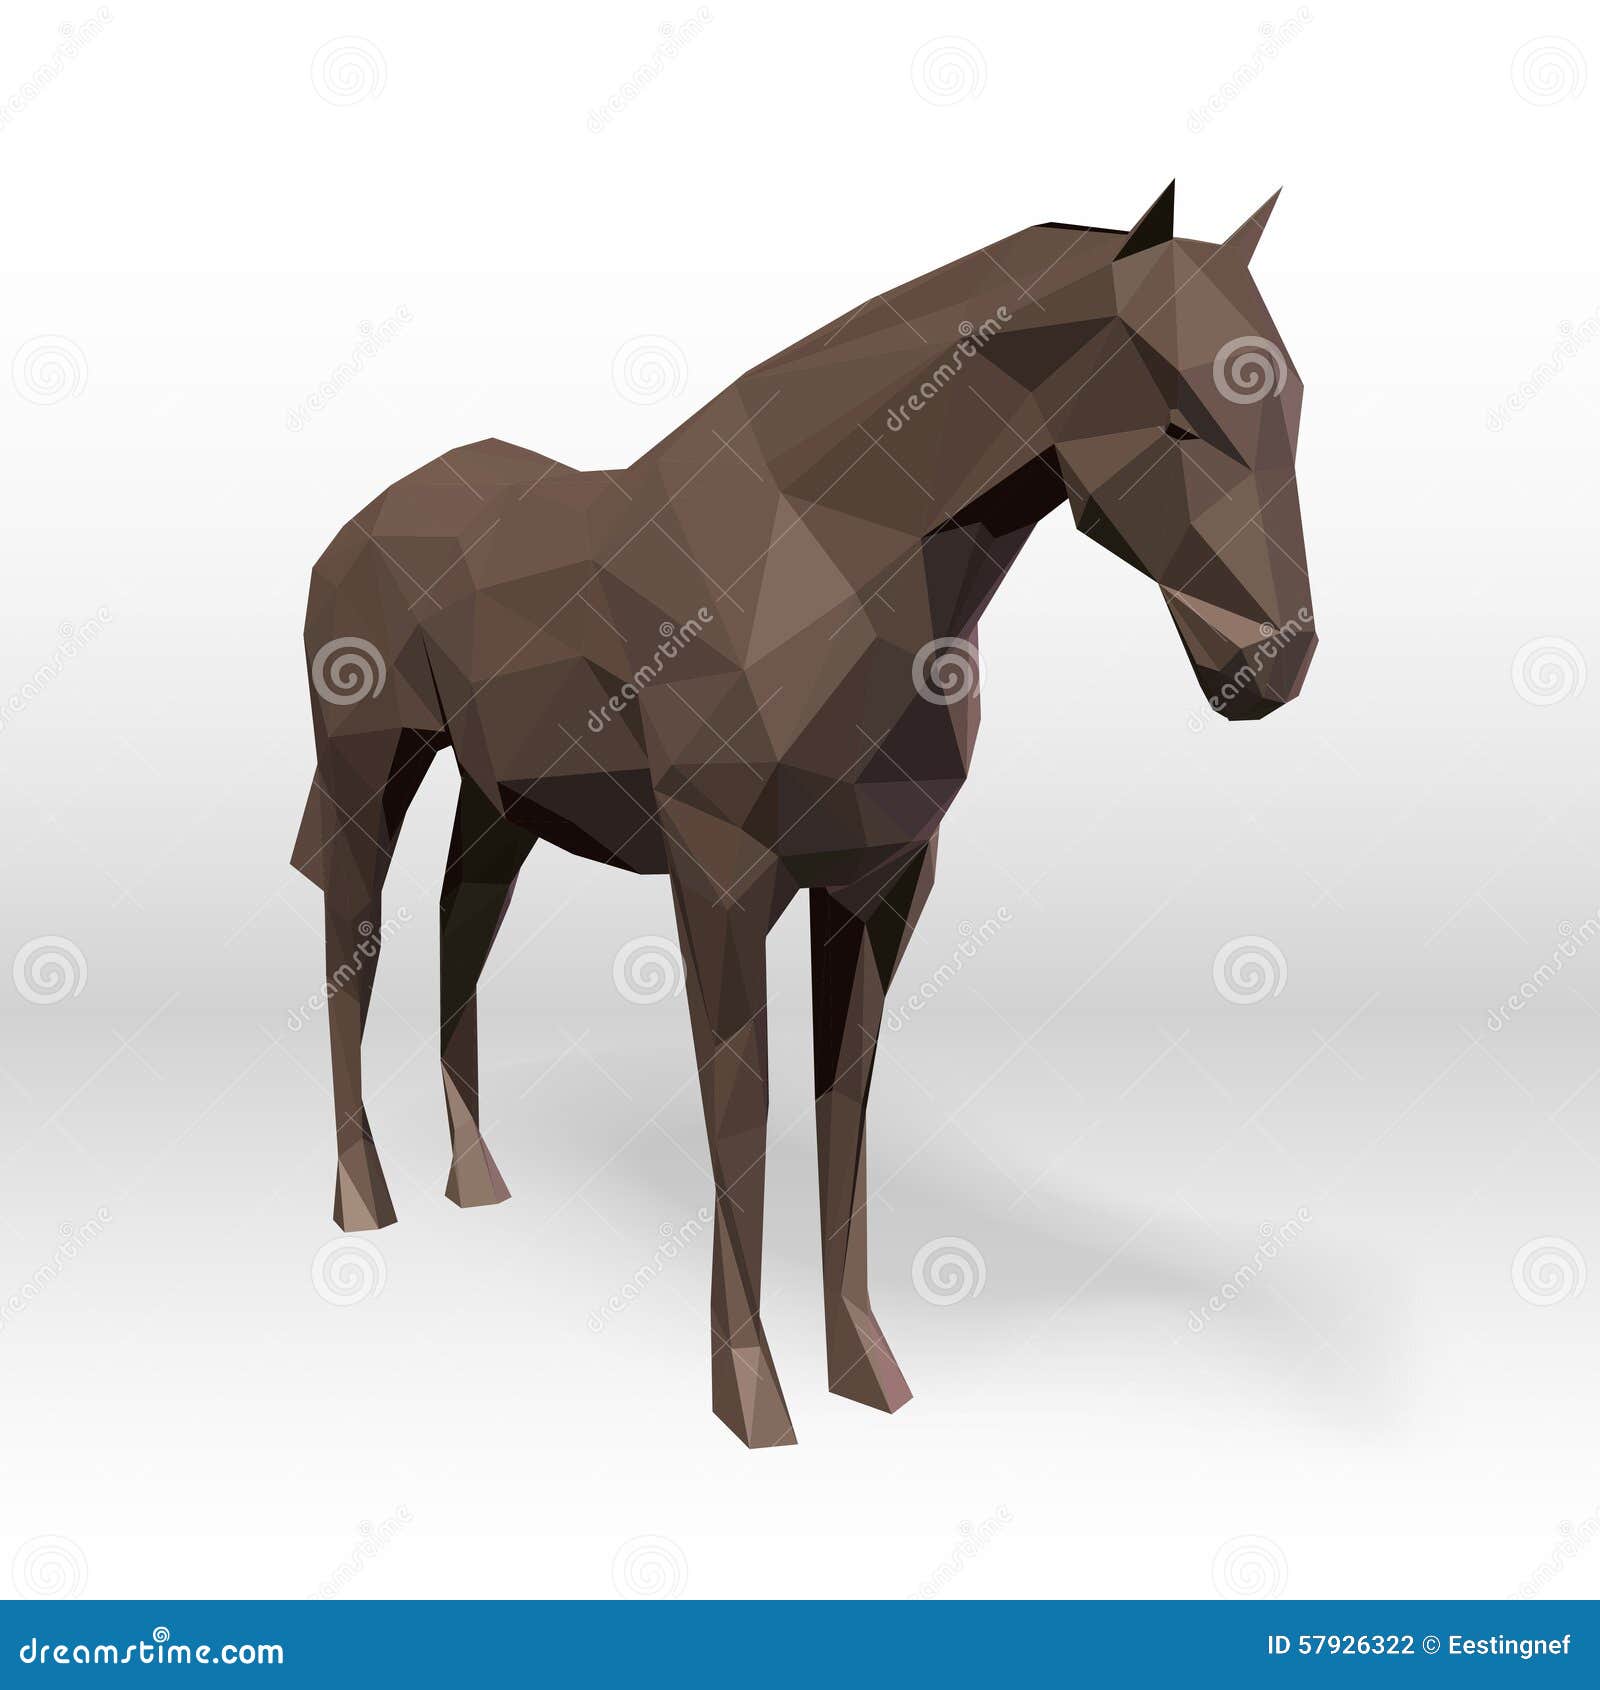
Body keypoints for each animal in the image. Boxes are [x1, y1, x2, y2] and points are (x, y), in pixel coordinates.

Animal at [292, 183, 1316, 1446]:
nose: (1272, 665)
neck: (837, 555)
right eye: (1175, 425)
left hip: (501, 803)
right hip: (367, 770)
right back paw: (362, 1202)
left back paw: (475, 1179)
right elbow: (745, 1112)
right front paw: (750, 1396)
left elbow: (843, 1113)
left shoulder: (879, 886)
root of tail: (358, 525)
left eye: (1290, 402)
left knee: (459, 929)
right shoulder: (721, 884)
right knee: (353, 939)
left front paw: (864, 1370)